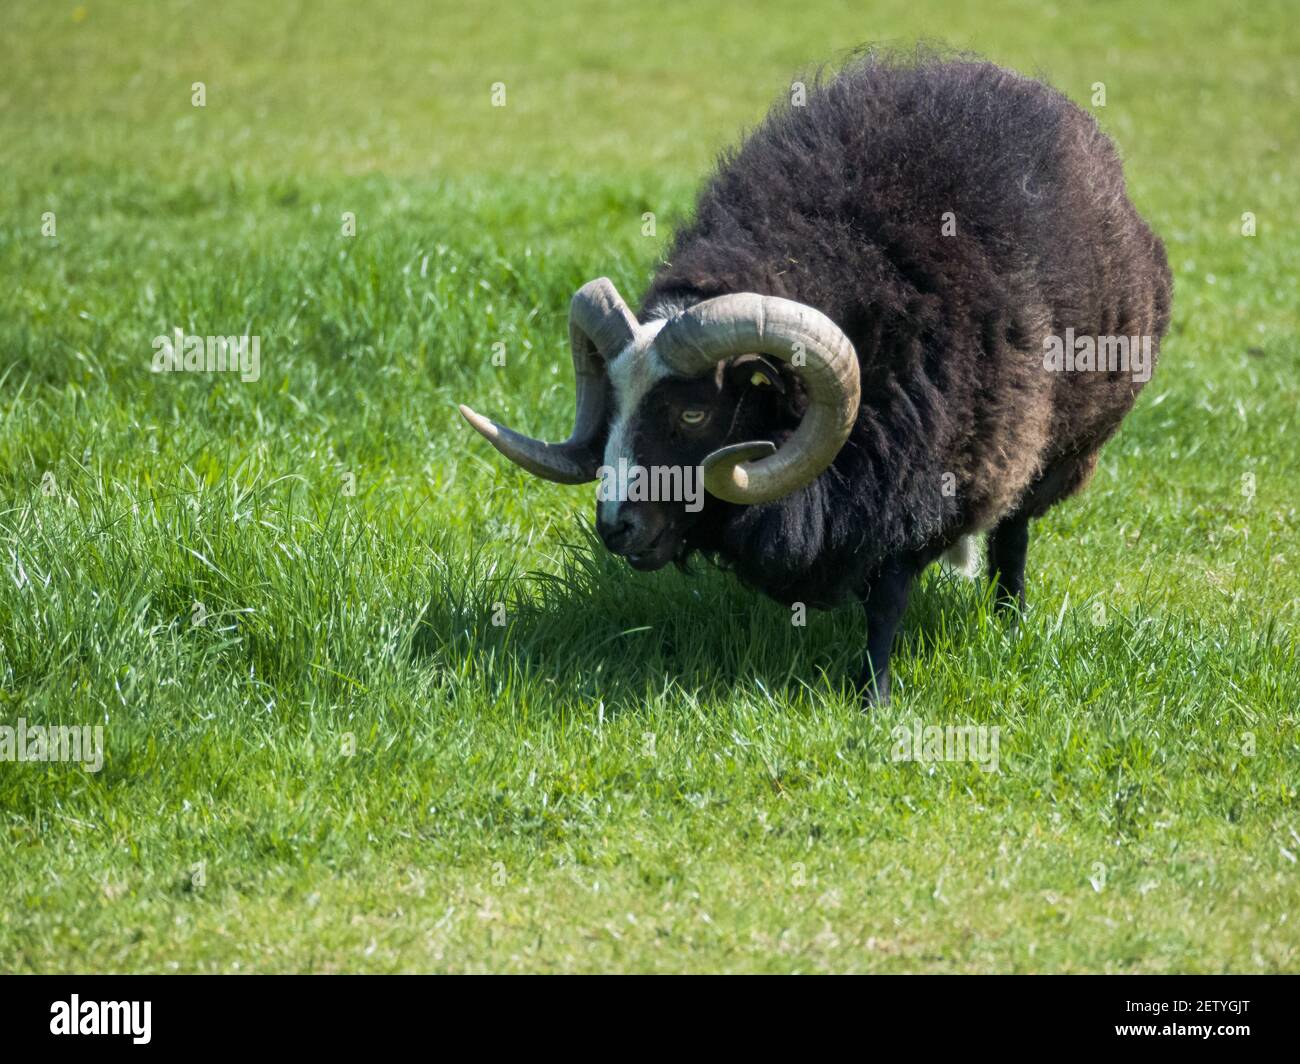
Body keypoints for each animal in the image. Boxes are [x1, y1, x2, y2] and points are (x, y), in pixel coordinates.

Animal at [459, 49, 1173, 703]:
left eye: (694, 412)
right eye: (613, 403)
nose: (615, 527)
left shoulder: (921, 471)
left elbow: (889, 595)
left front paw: (873, 696)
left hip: (1054, 448)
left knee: (1013, 536)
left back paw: (1009, 622)